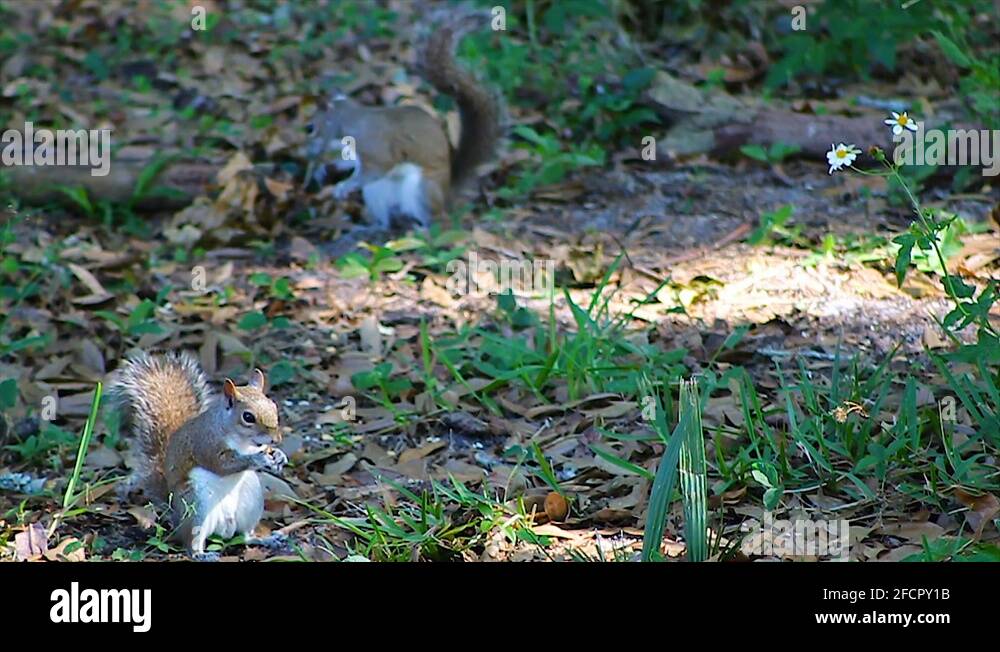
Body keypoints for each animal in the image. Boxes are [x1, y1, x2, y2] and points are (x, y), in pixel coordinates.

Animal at [108, 351, 288, 560]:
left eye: (273, 407)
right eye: (248, 417)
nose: (276, 439)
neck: (243, 441)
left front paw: (279, 456)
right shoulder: (205, 444)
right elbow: (221, 465)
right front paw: (258, 459)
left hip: (251, 500)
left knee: (245, 536)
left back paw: (266, 539)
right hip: (195, 506)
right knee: (191, 541)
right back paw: (202, 555)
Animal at [304, 11, 502, 232]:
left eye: (310, 128)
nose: (308, 154)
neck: (350, 121)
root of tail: (447, 193)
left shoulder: (376, 150)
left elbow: (378, 167)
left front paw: (342, 187)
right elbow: (347, 162)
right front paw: (325, 169)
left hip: (421, 190)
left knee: (437, 220)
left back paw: (422, 230)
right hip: (376, 193)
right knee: (385, 222)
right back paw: (371, 228)